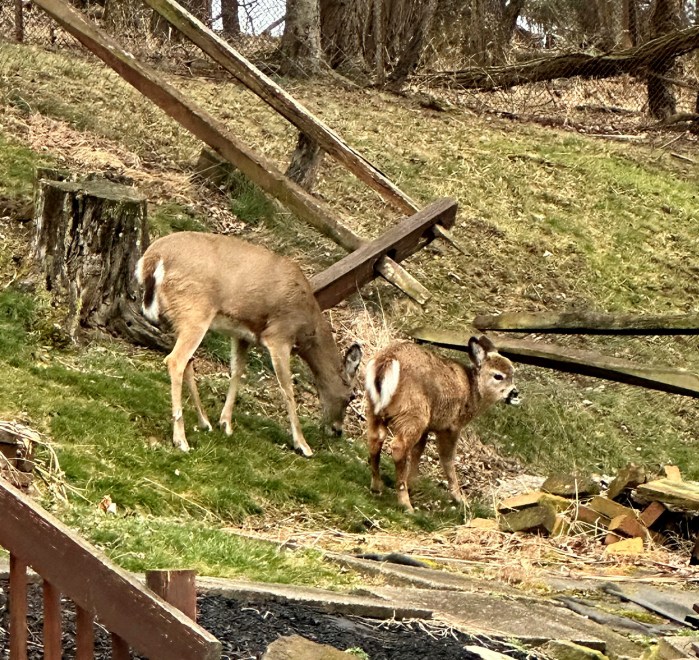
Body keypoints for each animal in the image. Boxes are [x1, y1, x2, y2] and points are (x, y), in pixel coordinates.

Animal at [135, 231, 362, 456]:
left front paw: (225, 423)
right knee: (175, 361)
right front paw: (303, 444)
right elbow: (287, 388)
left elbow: (237, 371)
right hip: (195, 312)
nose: (337, 430)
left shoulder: (243, 335)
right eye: (352, 396)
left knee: (188, 361)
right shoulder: (279, 335)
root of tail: (151, 259)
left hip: (178, 318)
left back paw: (204, 422)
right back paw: (181, 440)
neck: (308, 327)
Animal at [364, 336, 520, 512]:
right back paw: (405, 503)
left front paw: (413, 484)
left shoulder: (428, 426)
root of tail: (387, 361)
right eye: (498, 376)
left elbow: (419, 451)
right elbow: (447, 459)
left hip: (374, 407)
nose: (515, 393)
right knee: (398, 447)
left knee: (375, 438)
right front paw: (459, 499)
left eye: (513, 374)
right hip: (414, 413)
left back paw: (377, 486)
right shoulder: (451, 426)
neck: (471, 392)